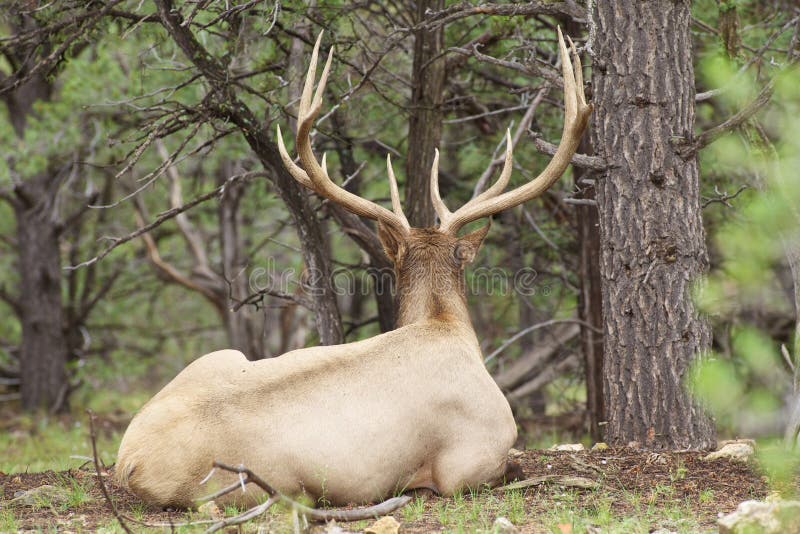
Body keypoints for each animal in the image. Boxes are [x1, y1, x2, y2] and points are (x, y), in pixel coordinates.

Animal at [115, 29, 591, 509]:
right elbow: (516, 469)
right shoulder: (471, 458)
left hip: (220, 357)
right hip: (271, 488)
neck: (446, 325)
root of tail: (128, 461)